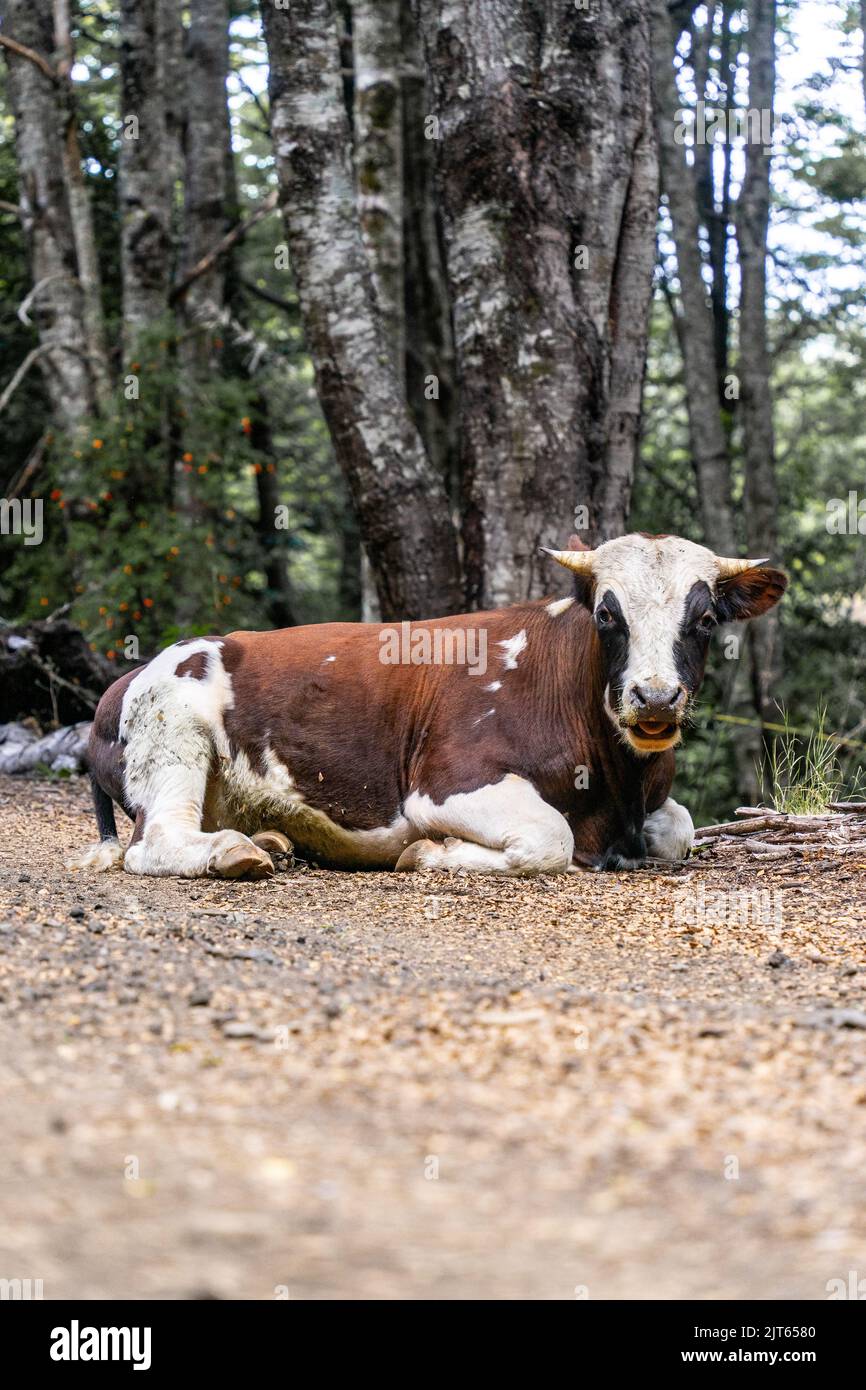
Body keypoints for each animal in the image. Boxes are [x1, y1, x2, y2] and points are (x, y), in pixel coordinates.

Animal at [68, 533, 786, 879]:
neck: (617, 786)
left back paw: (269, 839)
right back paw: (234, 853)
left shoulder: (657, 805)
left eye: (705, 619)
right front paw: (429, 855)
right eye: (608, 615)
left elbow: (681, 829)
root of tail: (128, 676)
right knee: (154, 842)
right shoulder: (446, 782)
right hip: (175, 737)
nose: (655, 696)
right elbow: (548, 837)